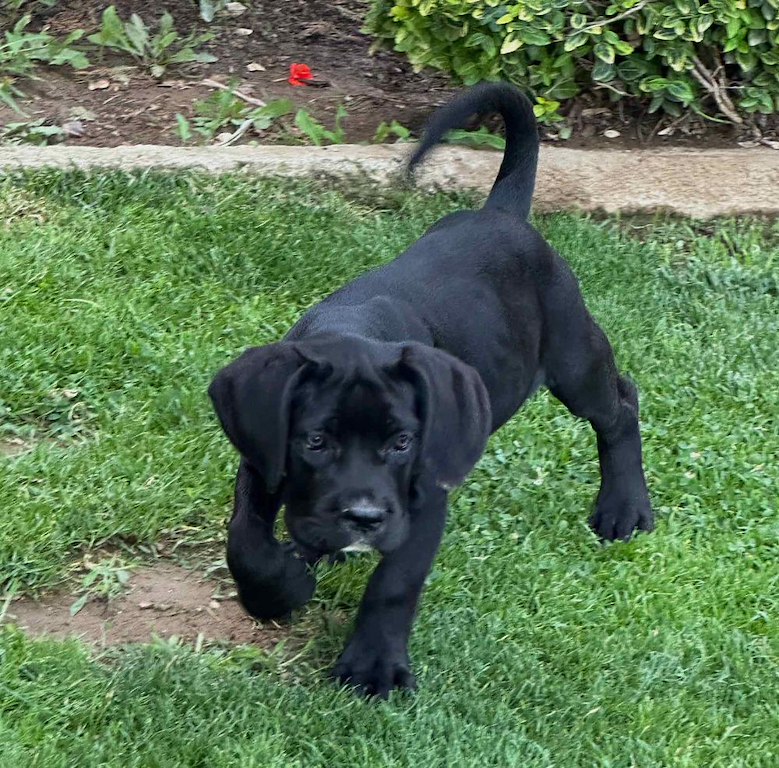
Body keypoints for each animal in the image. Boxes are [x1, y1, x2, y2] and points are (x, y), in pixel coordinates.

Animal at [209, 82, 652, 696]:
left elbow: (395, 582)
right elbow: (245, 539)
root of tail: (500, 215)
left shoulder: (424, 499)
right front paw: (280, 587)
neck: (356, 332)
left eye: (402, 443)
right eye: (315, 442)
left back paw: (624, 508)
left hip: (573, 357)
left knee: (620, 405)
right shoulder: (262, 457)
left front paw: (372, 667)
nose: (364, 518)